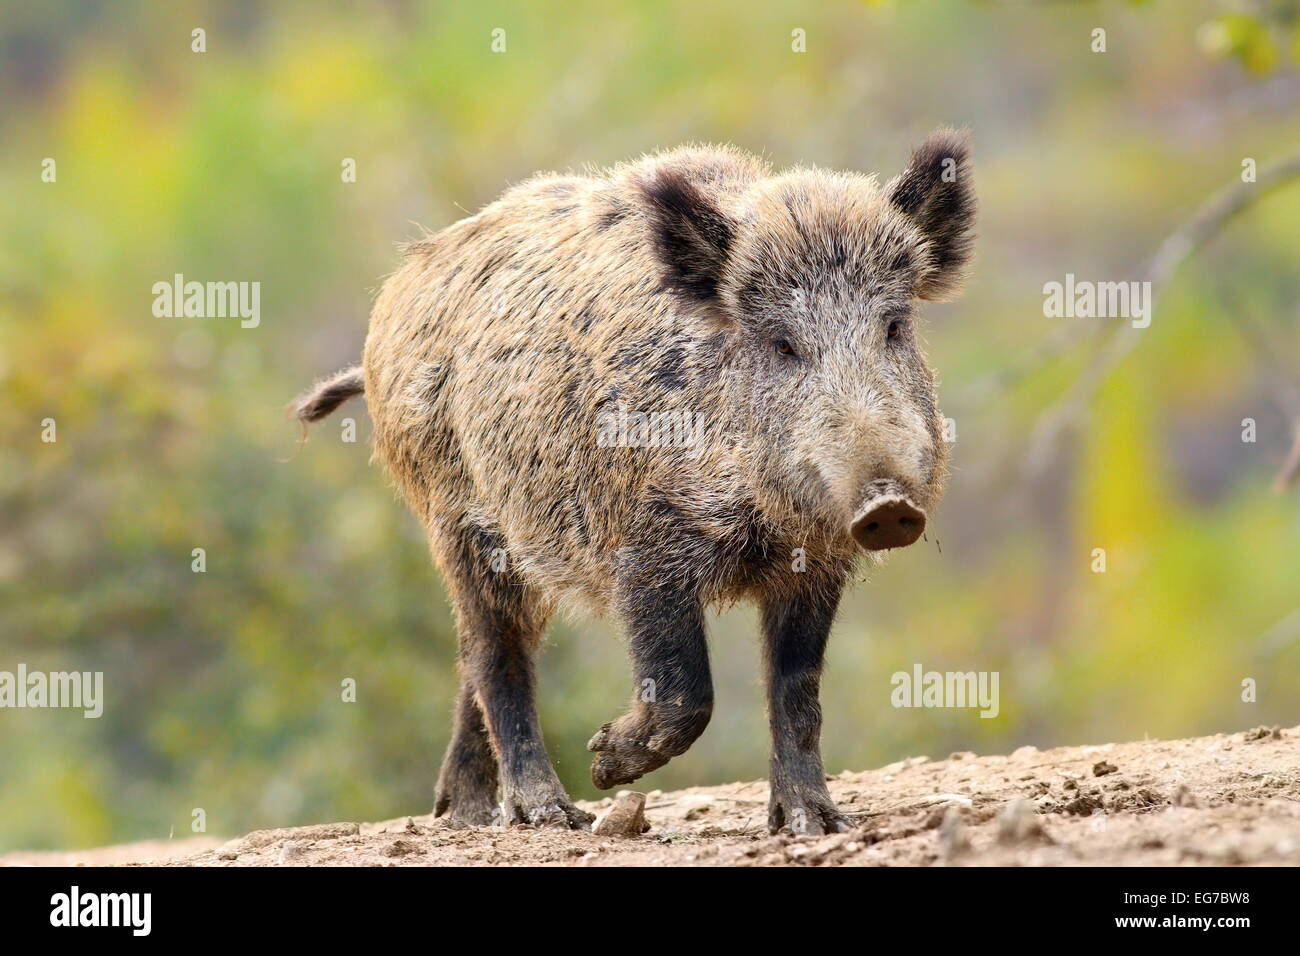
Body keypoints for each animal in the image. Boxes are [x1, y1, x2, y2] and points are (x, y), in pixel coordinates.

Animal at [294, 130, 975, 834]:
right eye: (782, 344)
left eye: (894, 327)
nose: (888, 505)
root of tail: (389, 312)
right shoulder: (643, 546)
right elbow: (685, 691)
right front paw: (603, 762)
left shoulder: (814, 564)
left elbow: (797, 690)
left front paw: (814, 823)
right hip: (458, 516)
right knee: (493, 651)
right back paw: (549, 813)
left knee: (475, 657)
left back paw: (468, 815)